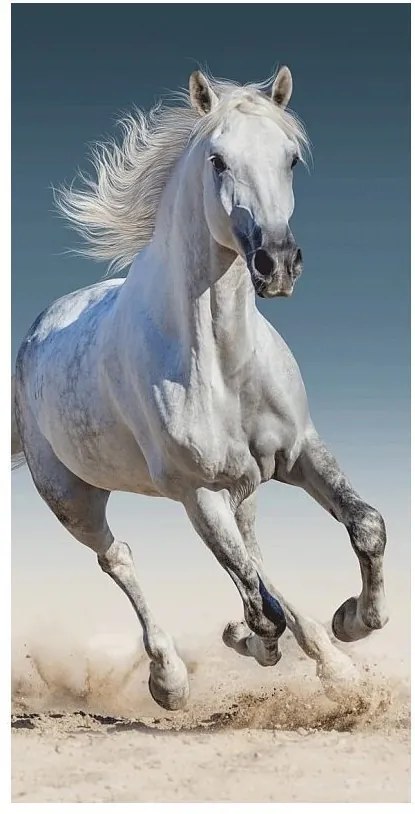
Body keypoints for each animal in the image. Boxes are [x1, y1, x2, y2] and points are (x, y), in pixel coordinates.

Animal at [12, 67, 388, 711]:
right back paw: (170, 680)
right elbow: (261, 604)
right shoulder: (199, 491)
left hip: (244, 485)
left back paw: (331, 662)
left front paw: (352, 623)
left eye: (290, 159)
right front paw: (255, 640)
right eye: (218, 160)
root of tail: (37, 332)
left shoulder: (299, 452)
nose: (277, 263)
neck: (223, 361)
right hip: (72, 498)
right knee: (120, 558)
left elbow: (365, 527)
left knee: (254, 558)